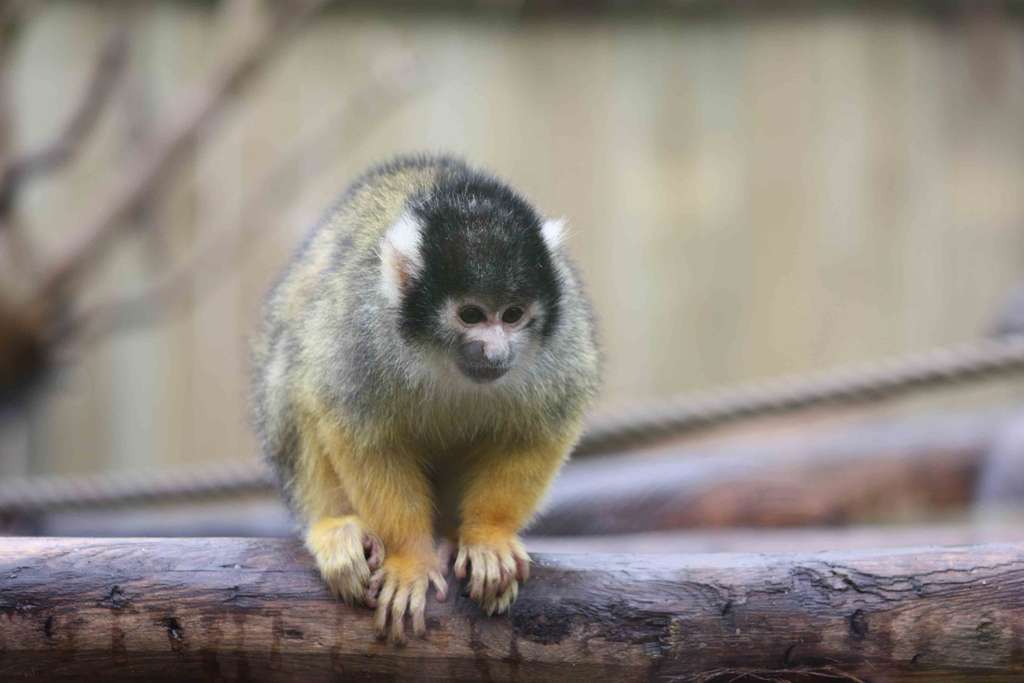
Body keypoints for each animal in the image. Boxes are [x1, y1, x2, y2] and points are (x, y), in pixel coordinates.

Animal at [250, 154, 601, 644]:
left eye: (513, 315)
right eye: (471, 315)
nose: (497, 352)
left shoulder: (561, 334)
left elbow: (543, 425)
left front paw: (488, 536)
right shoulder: (363, 324)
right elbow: (359, 428)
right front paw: (409, 559)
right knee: (296, 361)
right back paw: (334, 527)